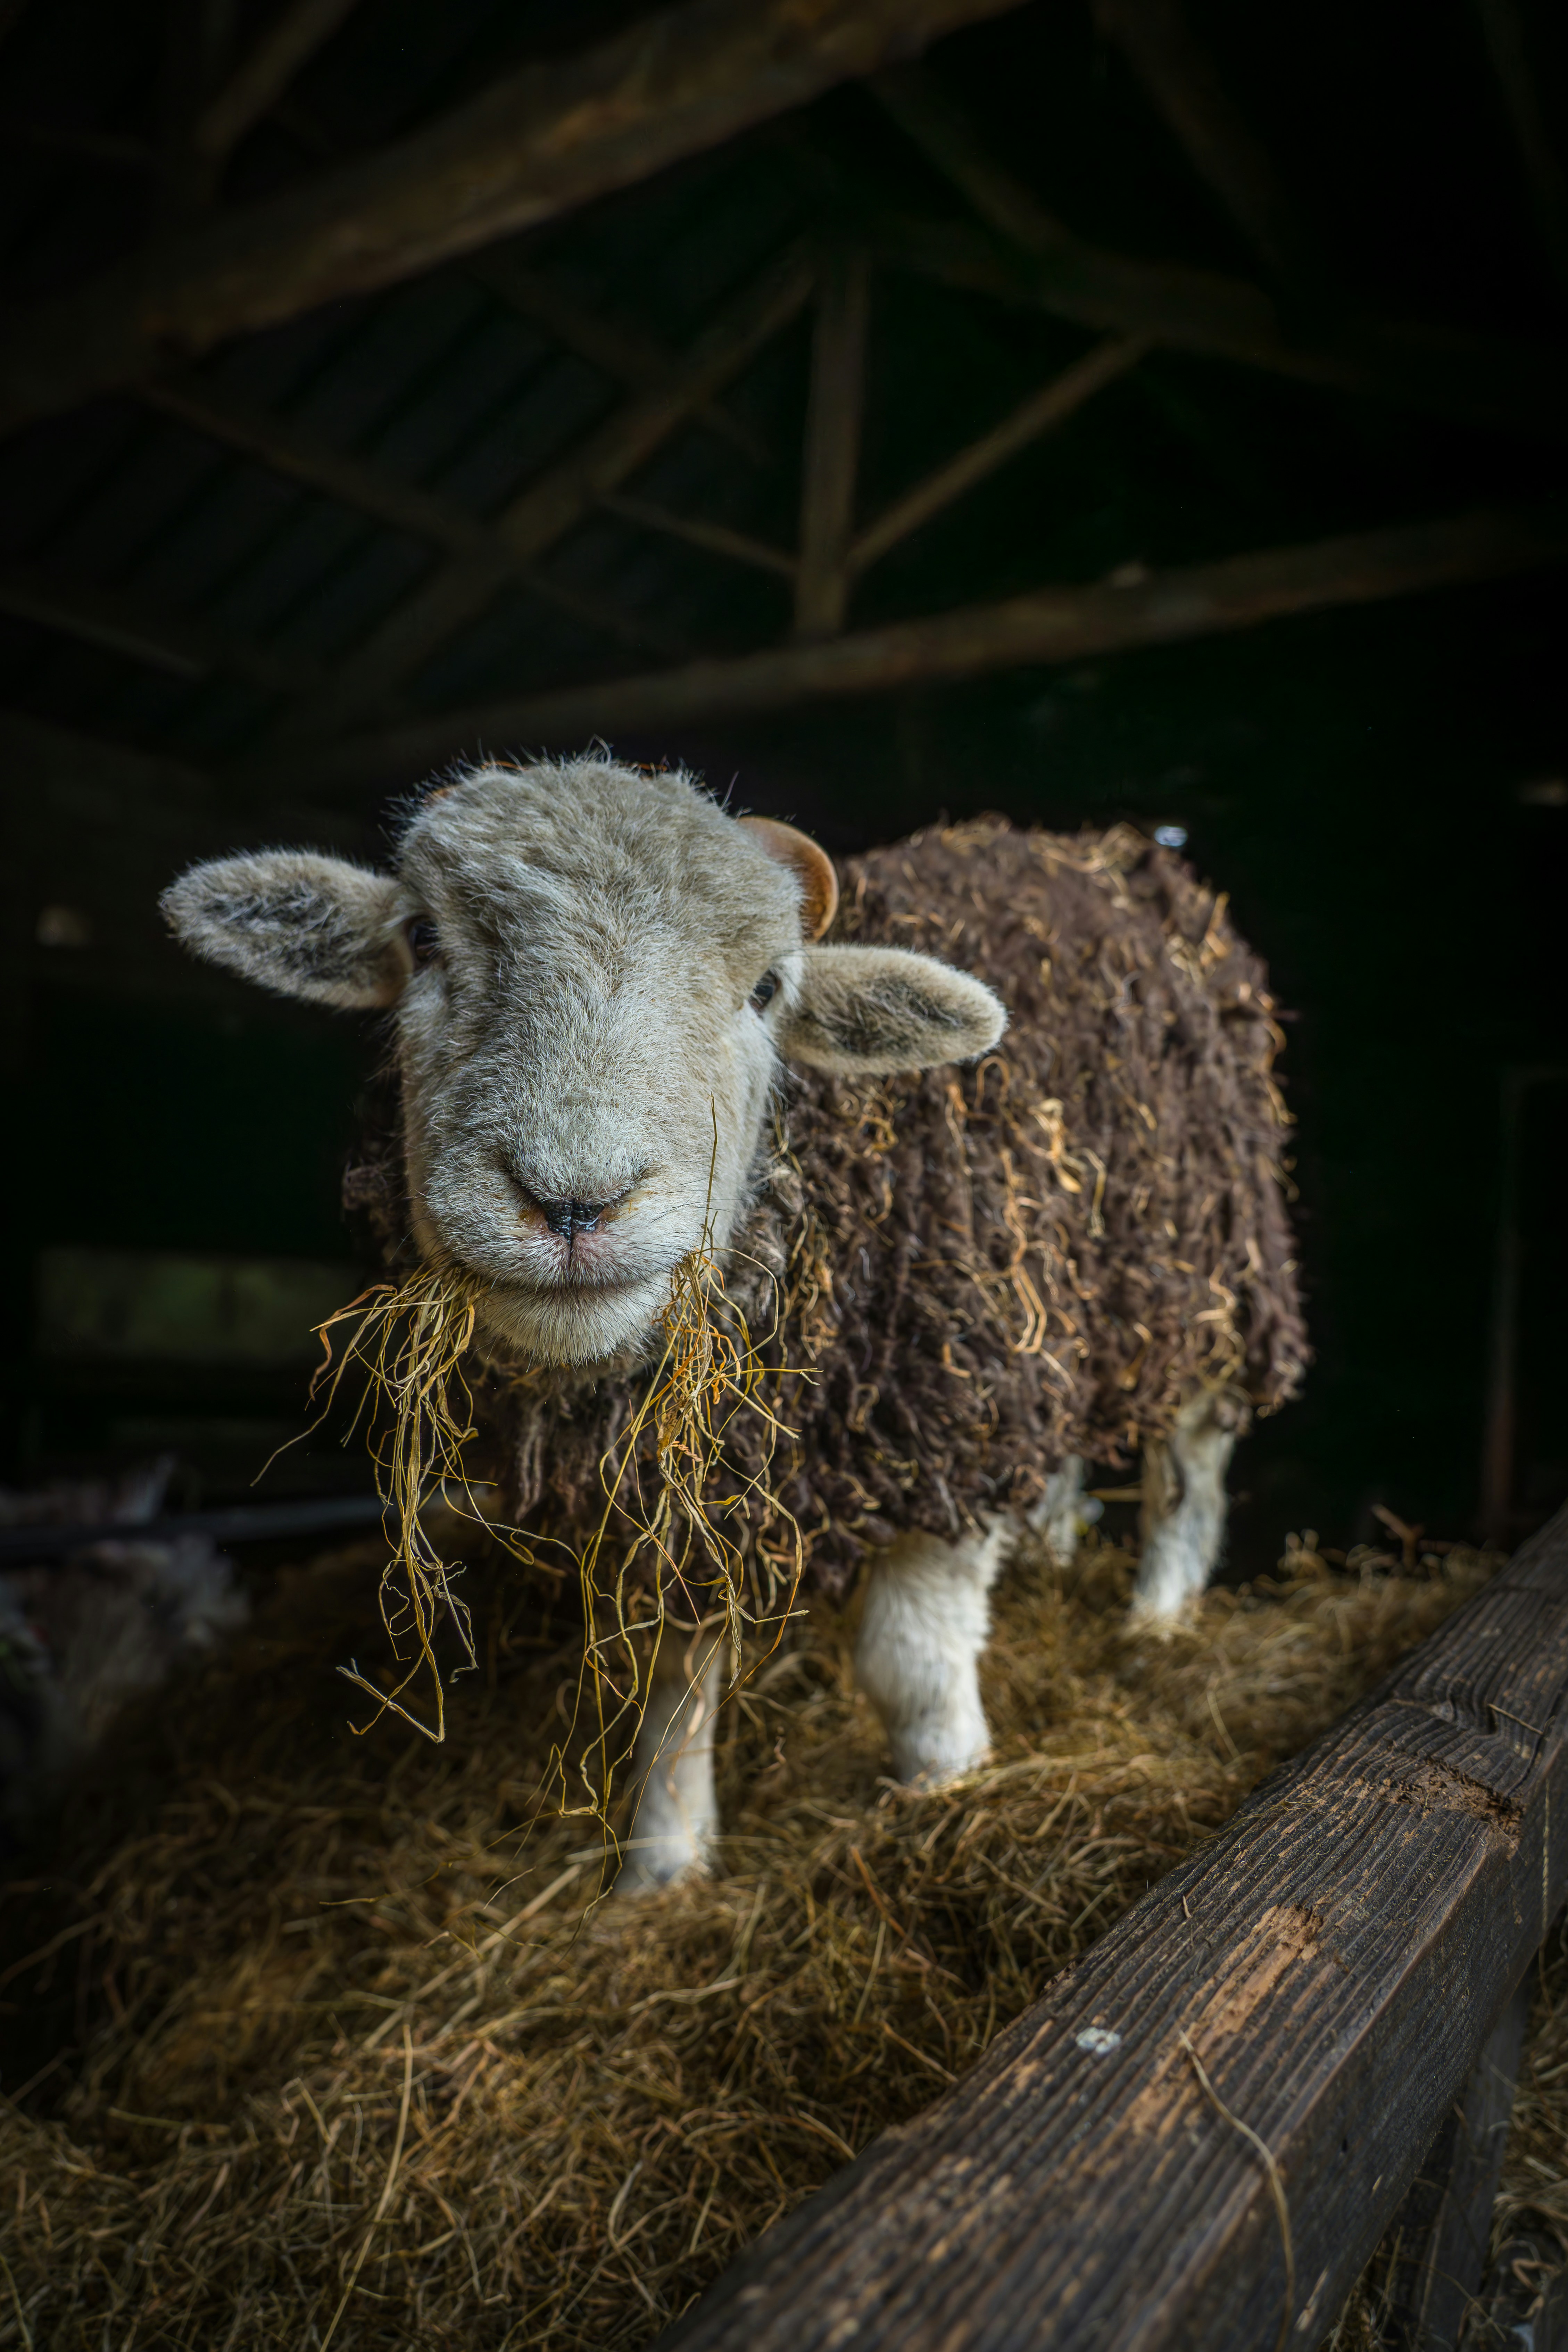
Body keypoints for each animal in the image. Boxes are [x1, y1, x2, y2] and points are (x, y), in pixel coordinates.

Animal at [161, 754, 1306, 1888]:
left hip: (1215, 1262)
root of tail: (1082, 843)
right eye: (423, 940)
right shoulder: (676, 1489)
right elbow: (673, 1685)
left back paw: (1159, 1617)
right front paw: (662, 1868)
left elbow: (908, 1666)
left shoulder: (939, 1418)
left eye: (765, 989)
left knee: (1191, 1462)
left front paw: (948, 1793)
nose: (571, 1203)